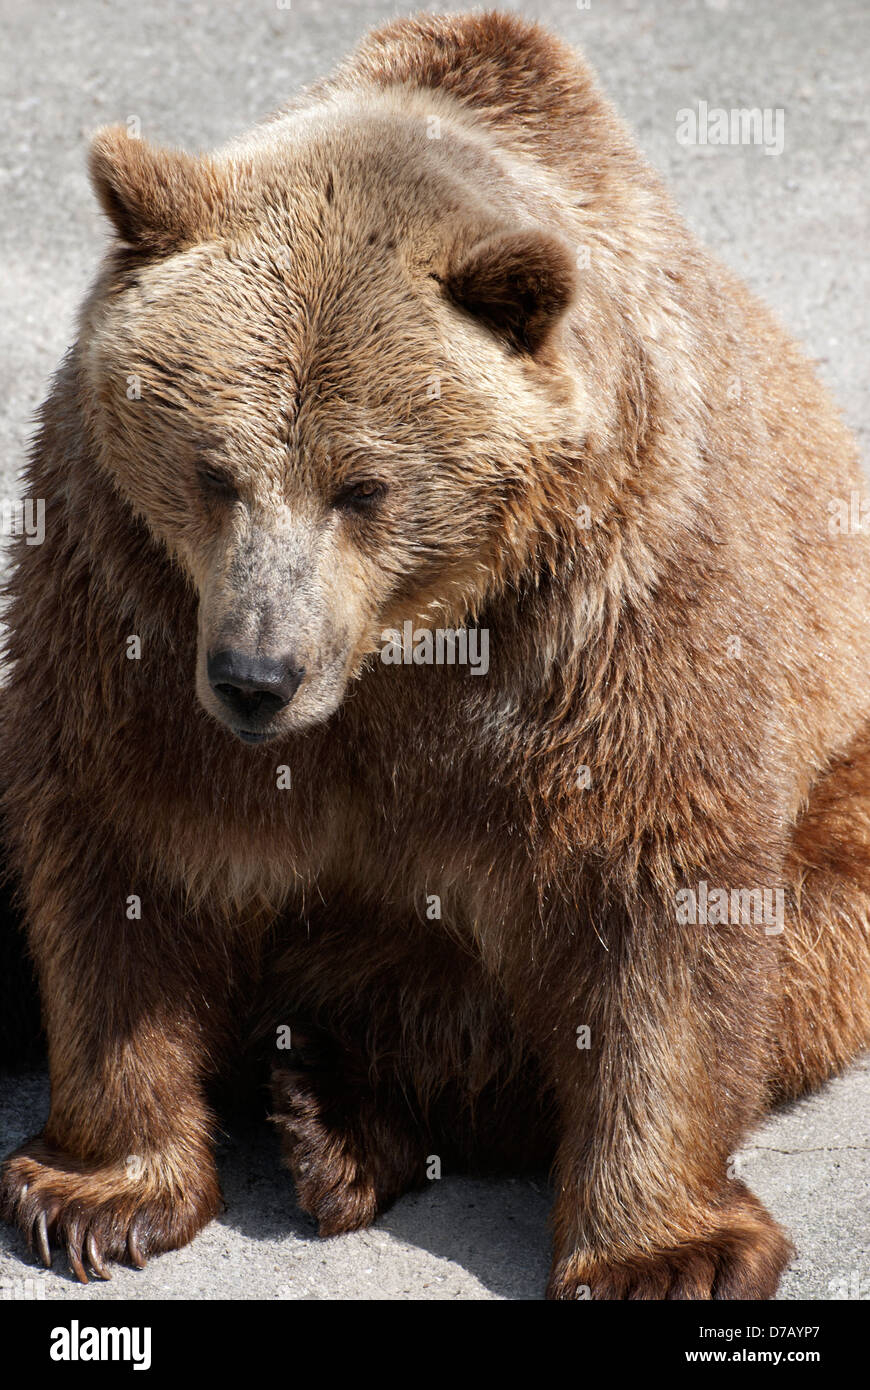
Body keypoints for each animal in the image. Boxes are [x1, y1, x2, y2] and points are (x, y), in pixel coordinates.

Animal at [1, 8, 869, 1299]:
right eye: (212, 469)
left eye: (365, 485)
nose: (256, 676)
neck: (402, 651)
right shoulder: (127, 597)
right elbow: (116, 838)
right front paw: (96, 1193)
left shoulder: (611, 609)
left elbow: (658, 889)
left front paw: (666, 1250)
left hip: (842, 812)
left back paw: (341, 1118)